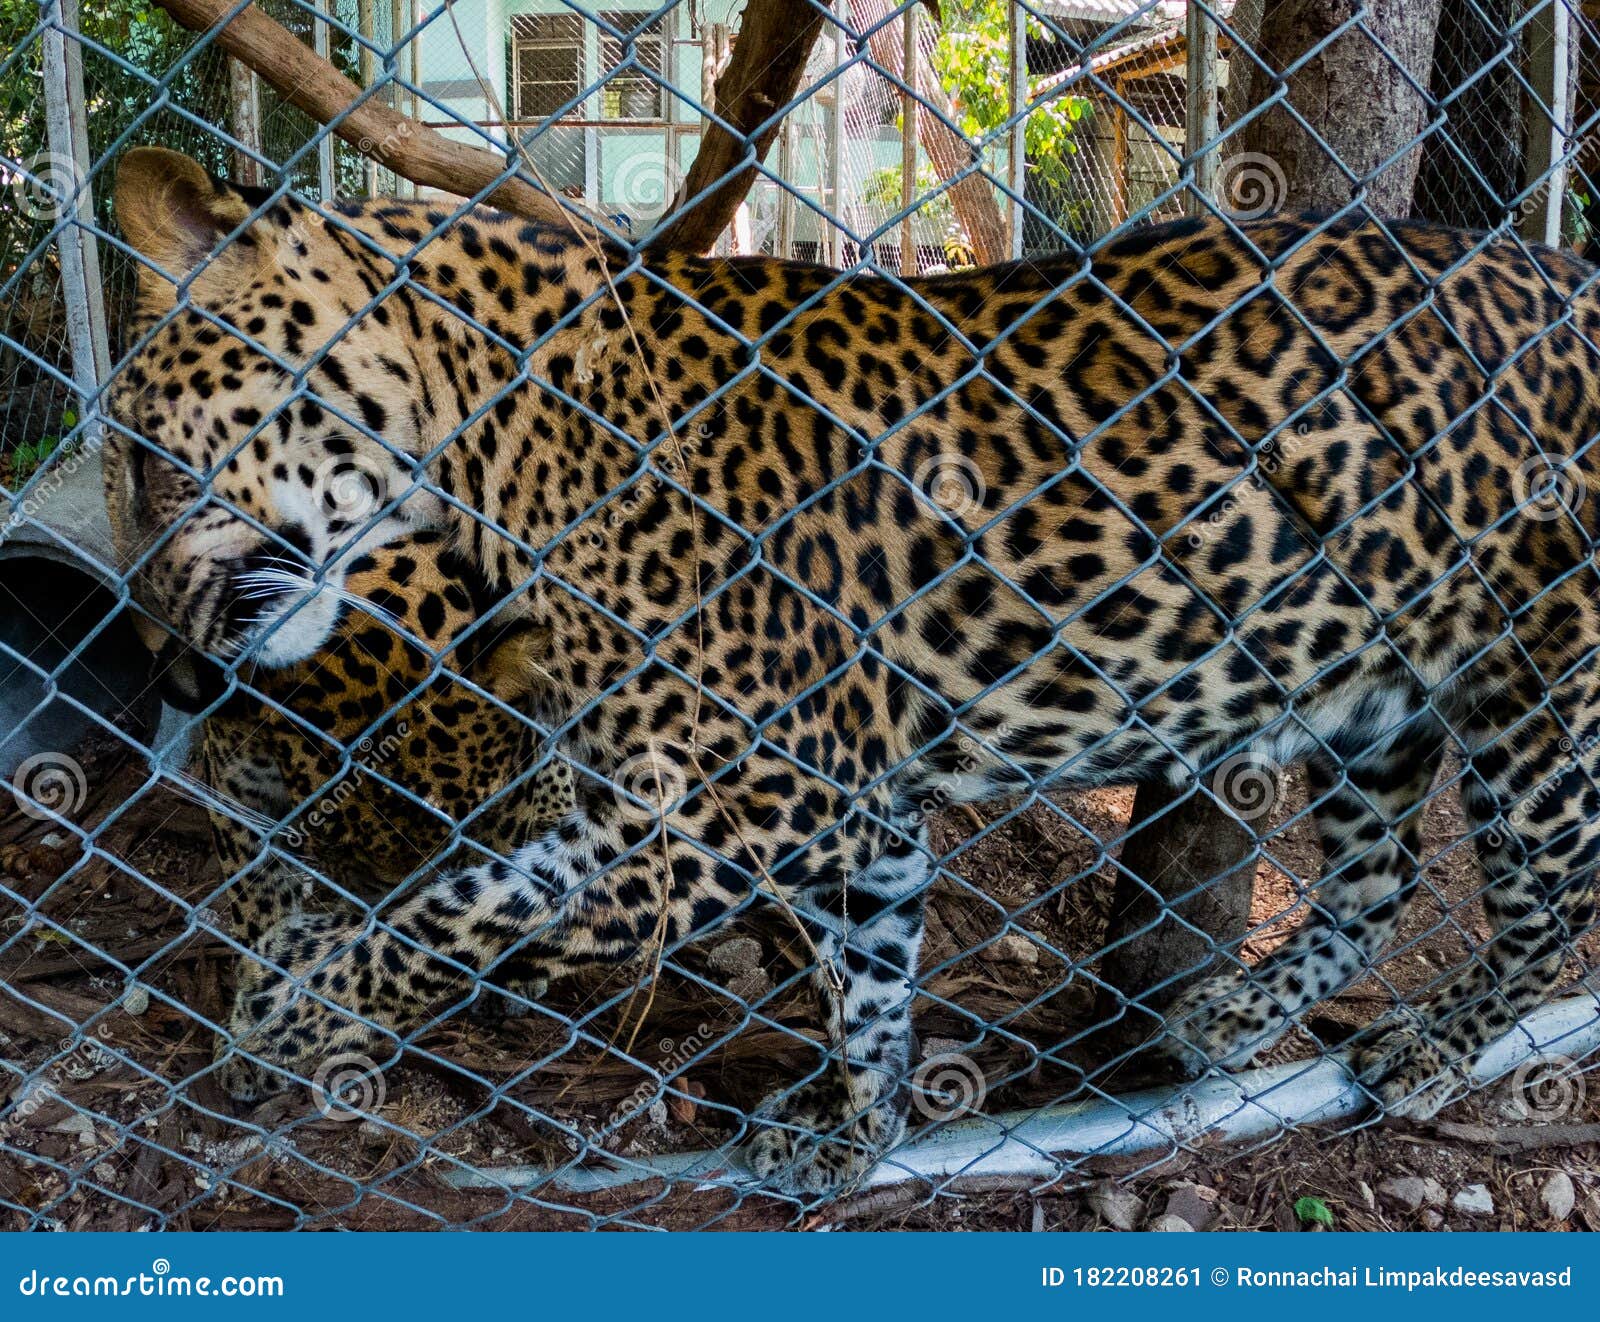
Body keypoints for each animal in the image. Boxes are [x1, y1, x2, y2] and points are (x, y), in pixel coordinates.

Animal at [106, 144, 1600, 1198]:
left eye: (143, 453)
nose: (167, 673)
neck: (494, 437)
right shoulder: (843, 804)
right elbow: (866, 971)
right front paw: (856, 1122)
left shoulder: (725, 809)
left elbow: (460, 916)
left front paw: (291, 1014)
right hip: (1370, 692)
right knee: (1379, 877)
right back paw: (1240, 1006)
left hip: (1544, 694)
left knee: (1553, 903)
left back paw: (1438, 1042)